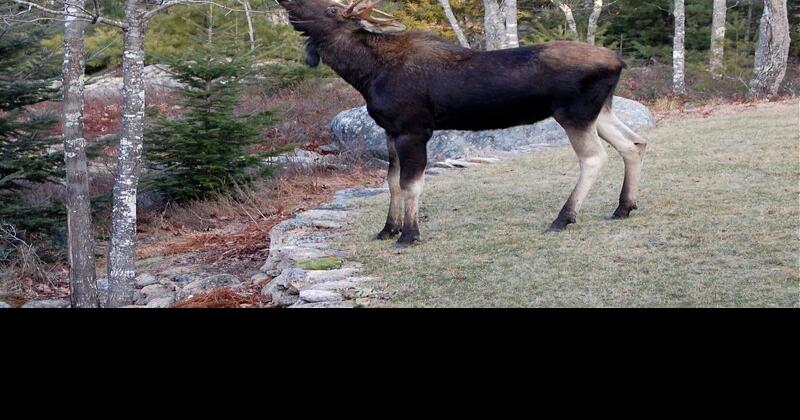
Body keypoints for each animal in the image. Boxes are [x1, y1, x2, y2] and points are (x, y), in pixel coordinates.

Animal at [277, 0, 648, 247]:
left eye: (332, 10)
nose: (288, 1)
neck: (364, 74)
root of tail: (619, 61)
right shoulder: (390, 130)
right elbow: (392, 181)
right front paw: (387, 229)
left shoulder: (414, 129)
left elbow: (411, 184)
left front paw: (409, 234)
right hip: (600, 111)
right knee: (634, 143)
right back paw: (623, 207)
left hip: (574, 113)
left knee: (594, 158)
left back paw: (564, 217)